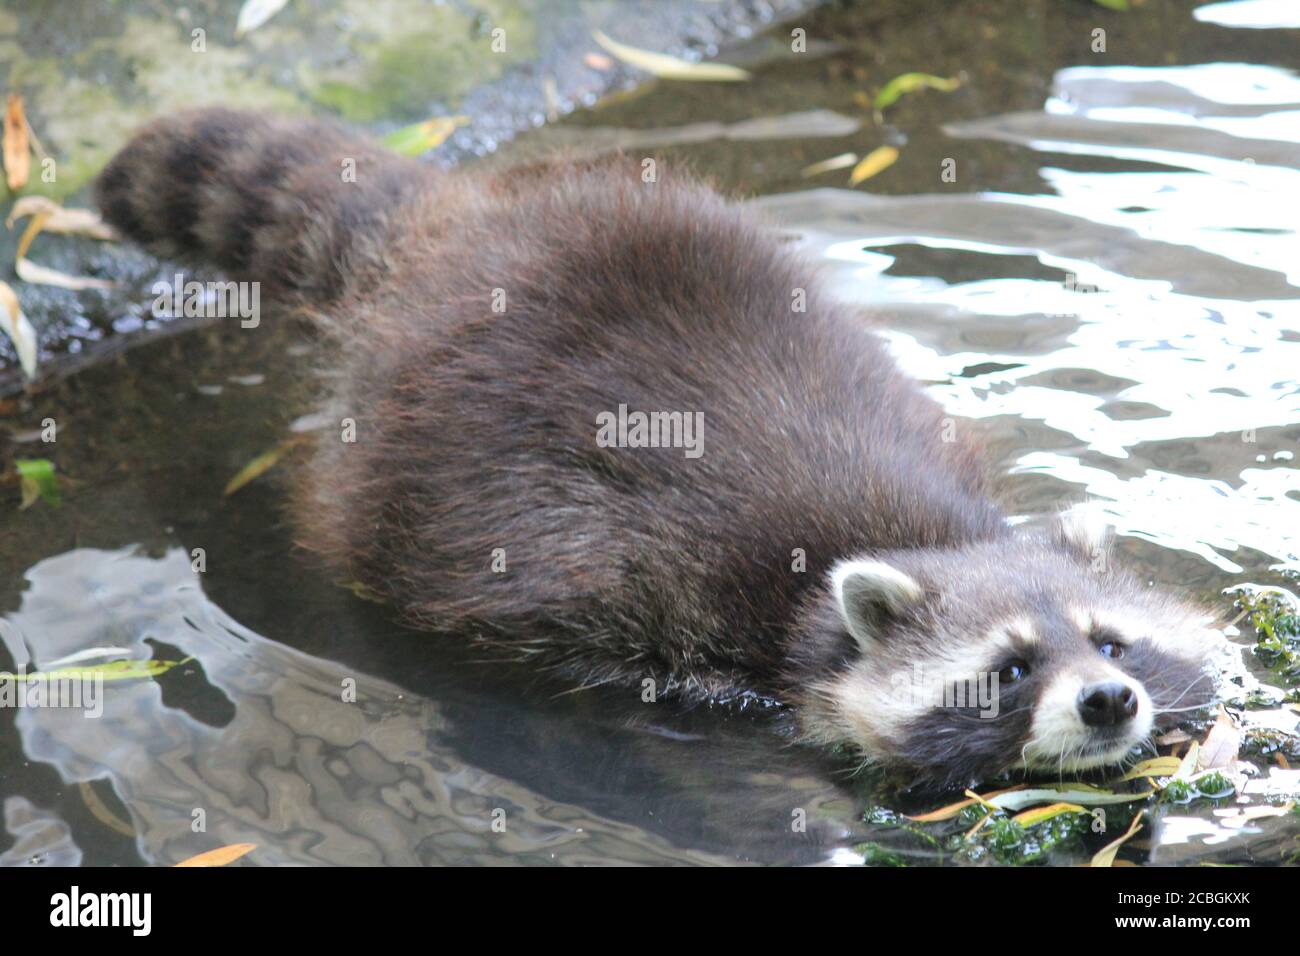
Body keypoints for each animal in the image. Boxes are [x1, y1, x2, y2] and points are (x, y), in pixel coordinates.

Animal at [95, 109, 1219, 786]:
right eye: (1008, 667)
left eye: (1111, 643)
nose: (1109, 699)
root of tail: (453, 224)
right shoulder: (642, 601)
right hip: (420, 462)